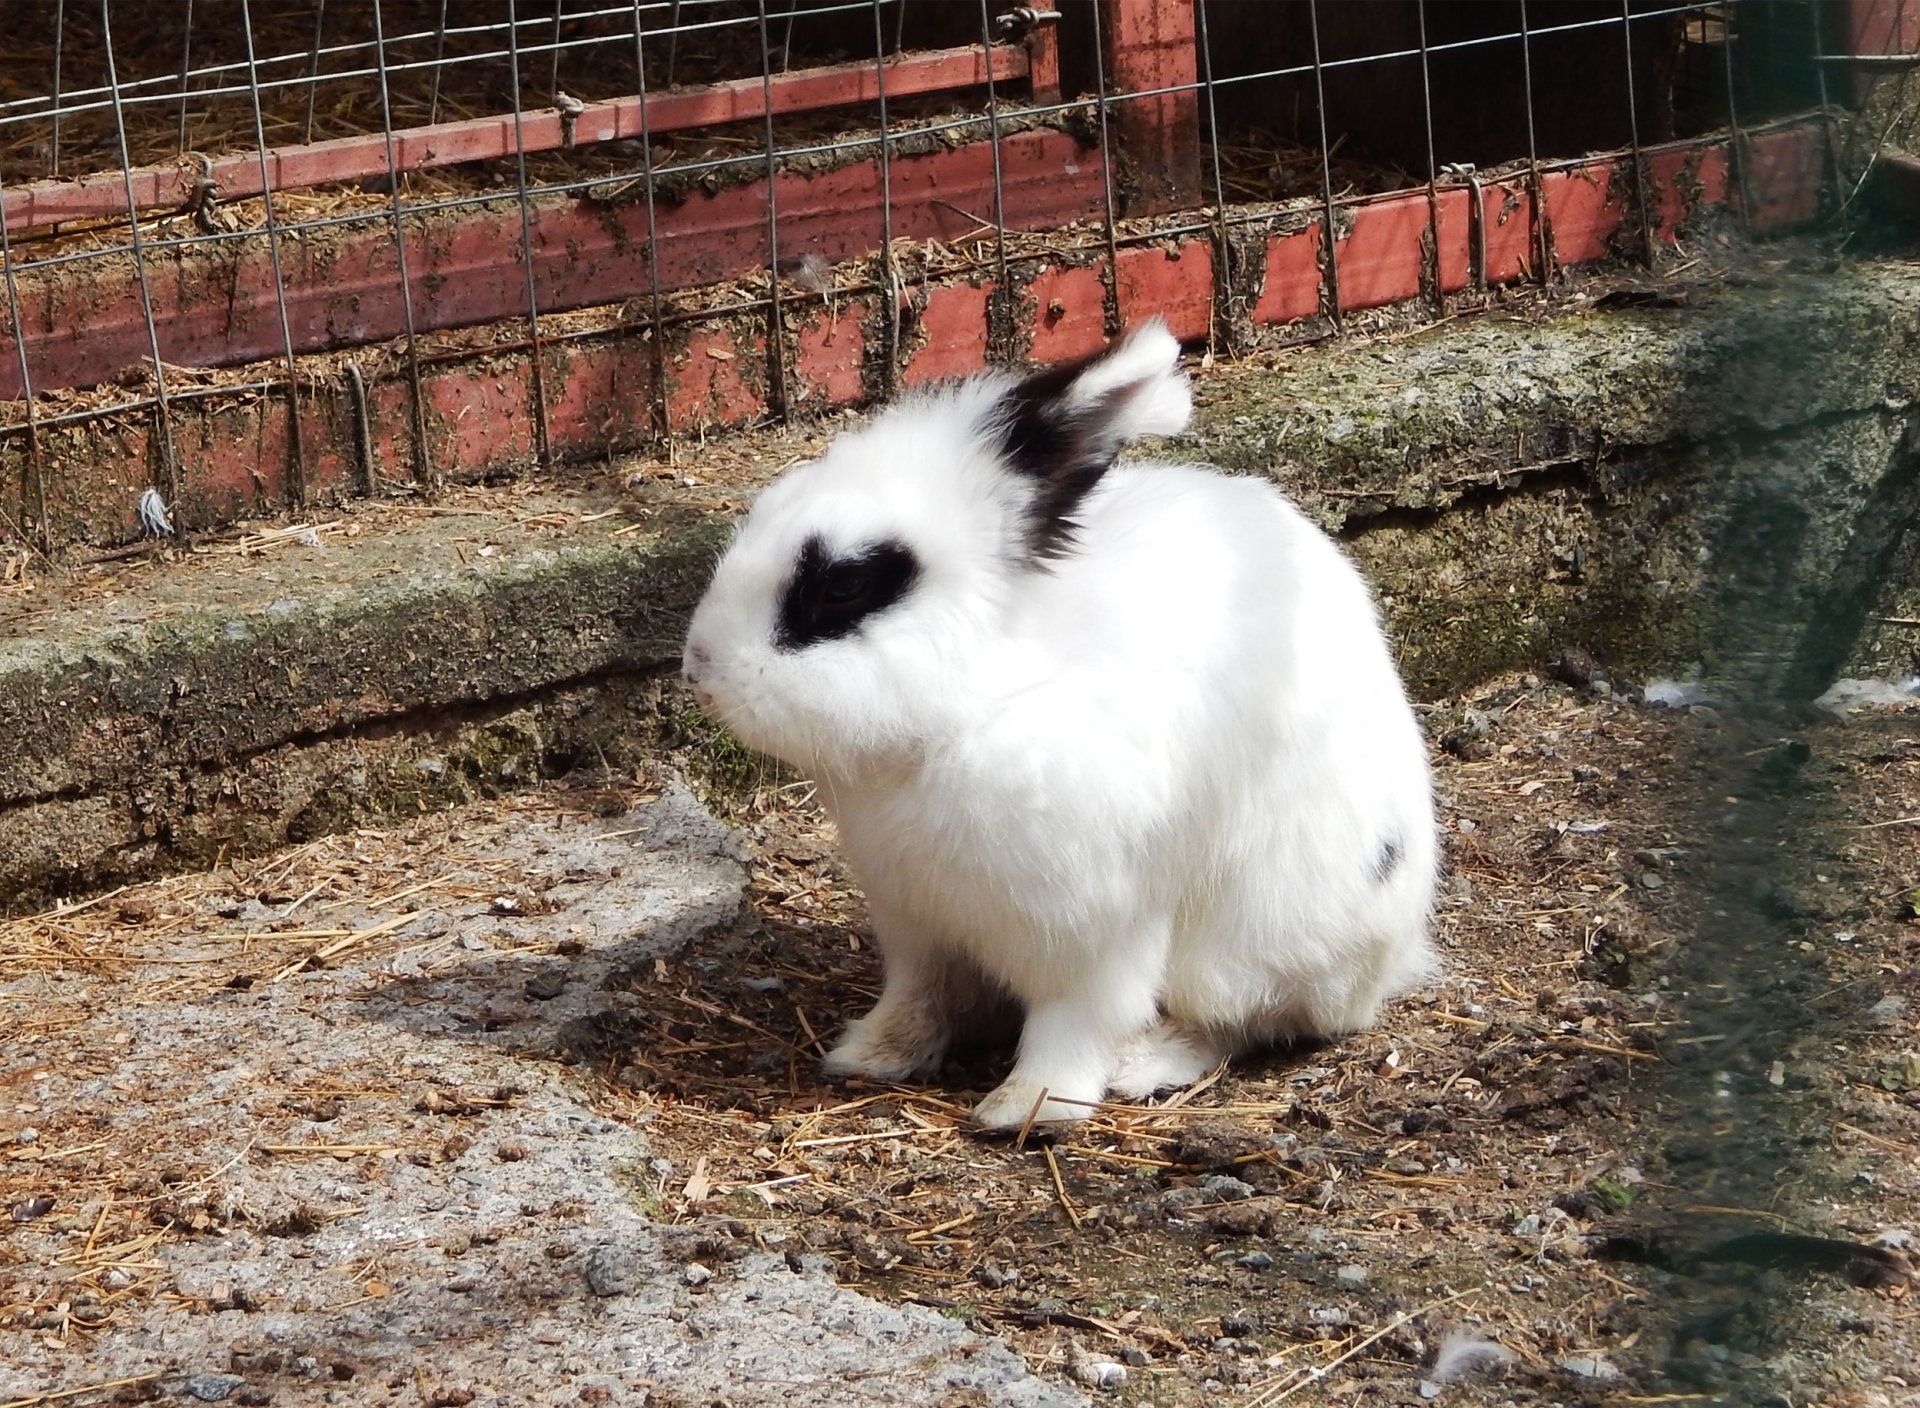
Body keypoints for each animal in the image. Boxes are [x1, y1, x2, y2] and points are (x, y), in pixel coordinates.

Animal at [681, 321, 1437, 1129]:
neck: (985, 699)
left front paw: (1026, 1107)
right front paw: (869, 1055)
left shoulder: (1093, 937)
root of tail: (1396, 956)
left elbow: (1075, 1025)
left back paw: (1148, 1062)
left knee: (1245, 1019)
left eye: (846, 582)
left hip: (1252, 947)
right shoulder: (916, 923)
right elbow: (919, 998)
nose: (699, 671)